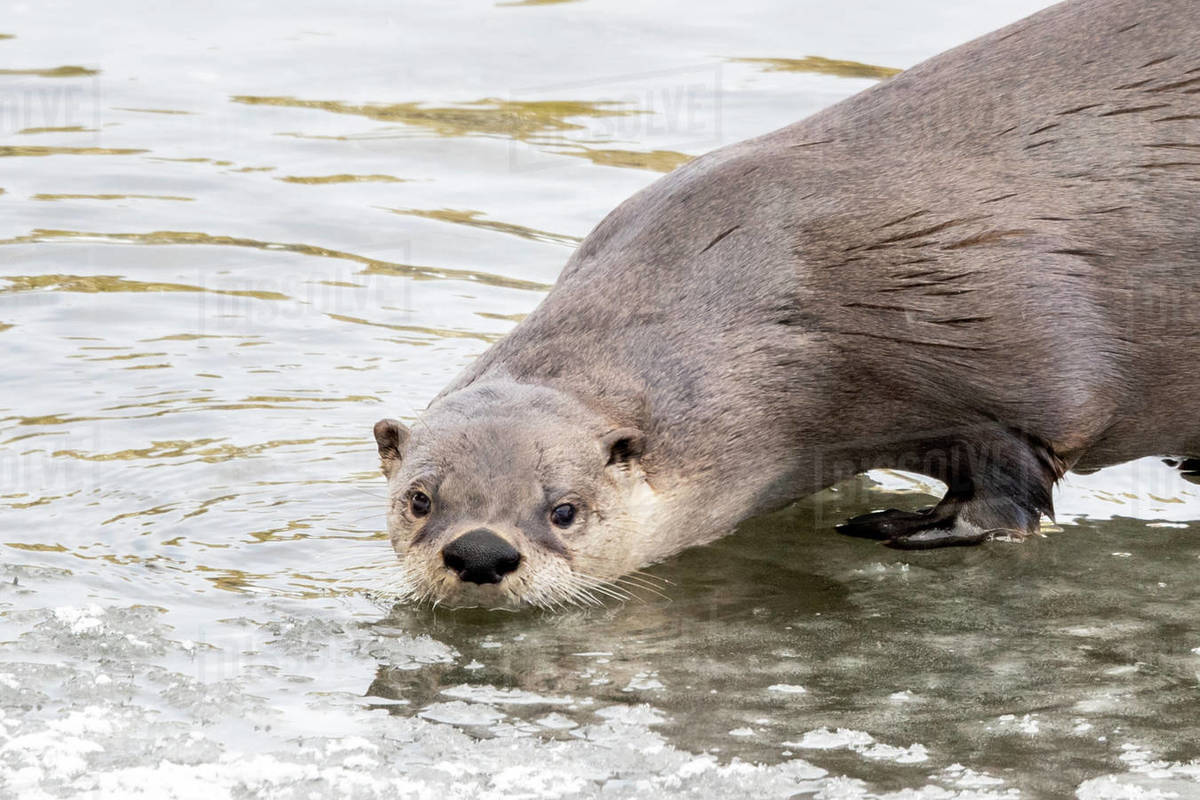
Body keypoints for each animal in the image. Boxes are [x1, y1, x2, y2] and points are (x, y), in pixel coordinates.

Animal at [373, 0, 1200, 608]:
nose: (481, 553)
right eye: (419, 499)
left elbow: (1008, 495)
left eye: (564, 508)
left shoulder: (1007, 366)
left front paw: (904, 525)